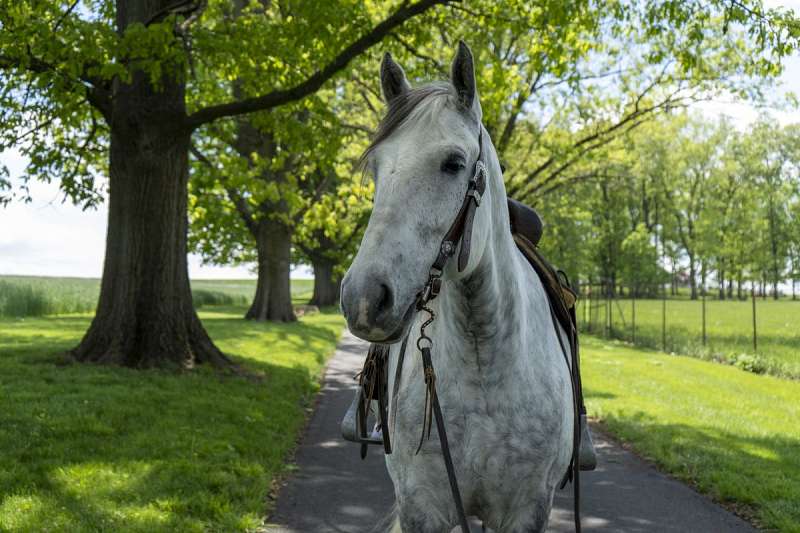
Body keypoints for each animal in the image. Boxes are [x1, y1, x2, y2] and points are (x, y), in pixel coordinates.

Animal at [340, 42, 574, 533]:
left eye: (453, 164)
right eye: (376, 168)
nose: (364, 299)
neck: (482, 356)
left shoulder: (526, 511)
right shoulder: (423, 507)